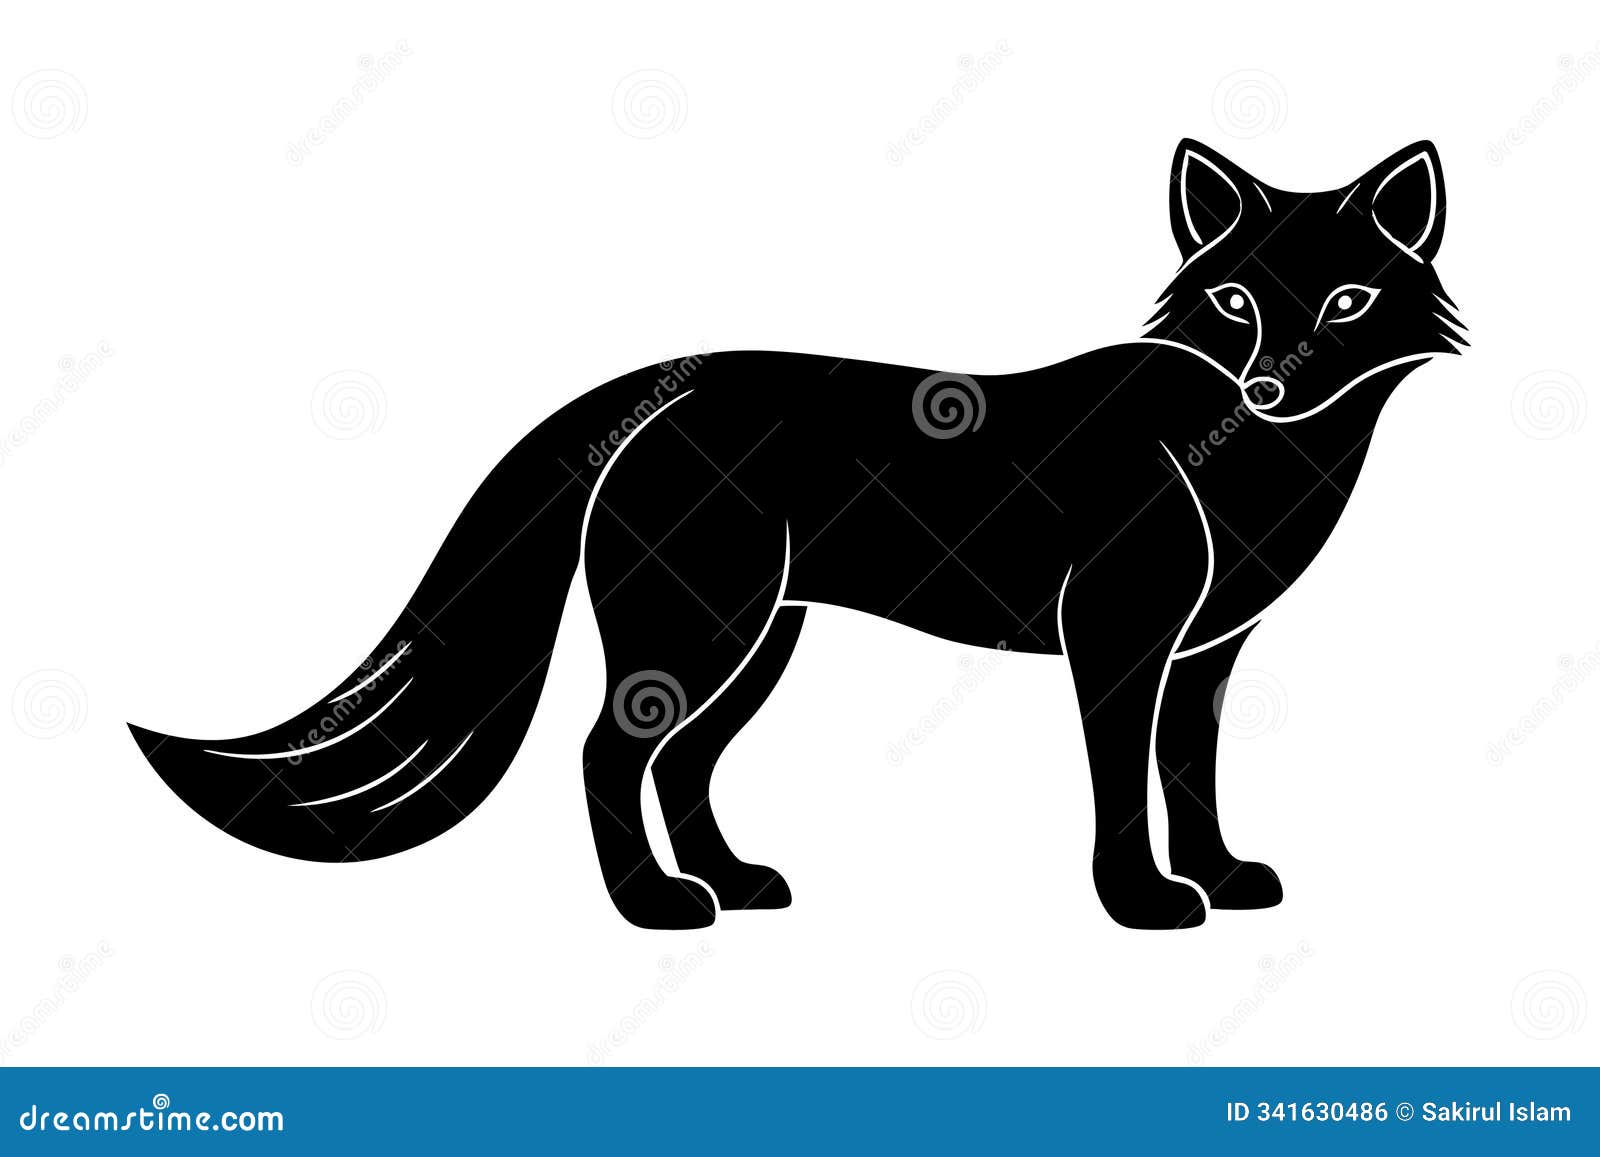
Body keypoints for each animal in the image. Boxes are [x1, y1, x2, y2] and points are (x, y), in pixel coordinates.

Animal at [130, 139, 1464, 930]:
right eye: (1235, 300)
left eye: (1346, 299)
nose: (1267, 385)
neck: (1260, 464)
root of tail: (665, 387)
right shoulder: (1117, 640)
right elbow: (1122, 782)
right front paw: (1142, 900)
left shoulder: (1206, 654)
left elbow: (1192, 770)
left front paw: (1228, 879)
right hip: (701, 629)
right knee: (605, 754)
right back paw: (657, 907)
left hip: (758, 638)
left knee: (679, 764)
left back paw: (731, 883)